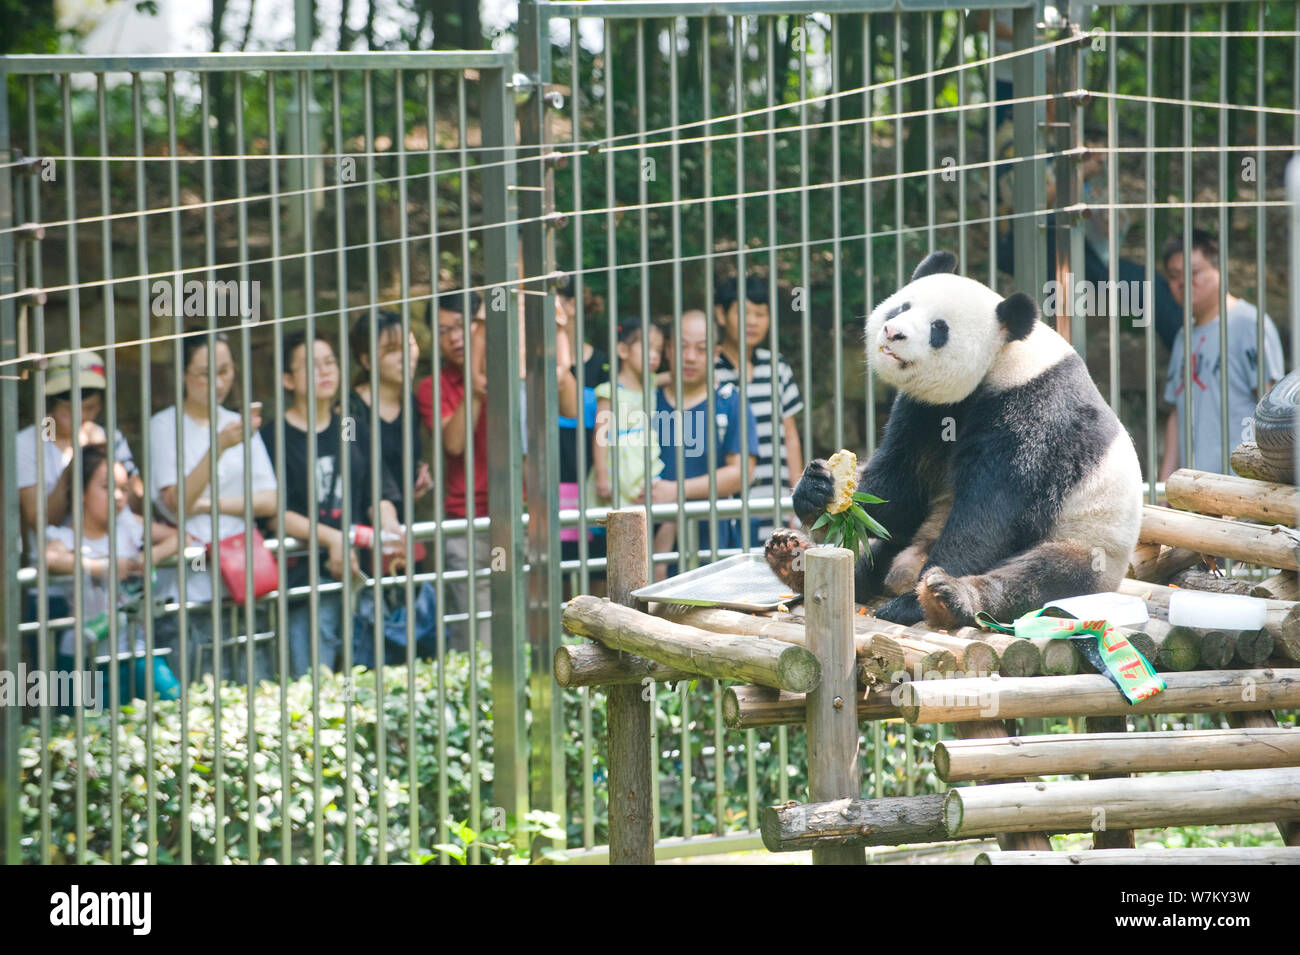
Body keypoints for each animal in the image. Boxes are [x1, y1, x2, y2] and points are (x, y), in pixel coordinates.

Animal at [766, 250, 1143, 628]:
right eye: (902, 307)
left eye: (939, 328)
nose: (893, 332)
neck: (1003, 358)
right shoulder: (924, 410)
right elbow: (900, 487)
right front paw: (820, 488)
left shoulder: (1034, 410)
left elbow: (991, 513)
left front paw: (917, 601)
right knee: (875, 553)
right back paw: (793, 558)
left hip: (1092, 545)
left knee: (1042, 574)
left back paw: (943, 597)